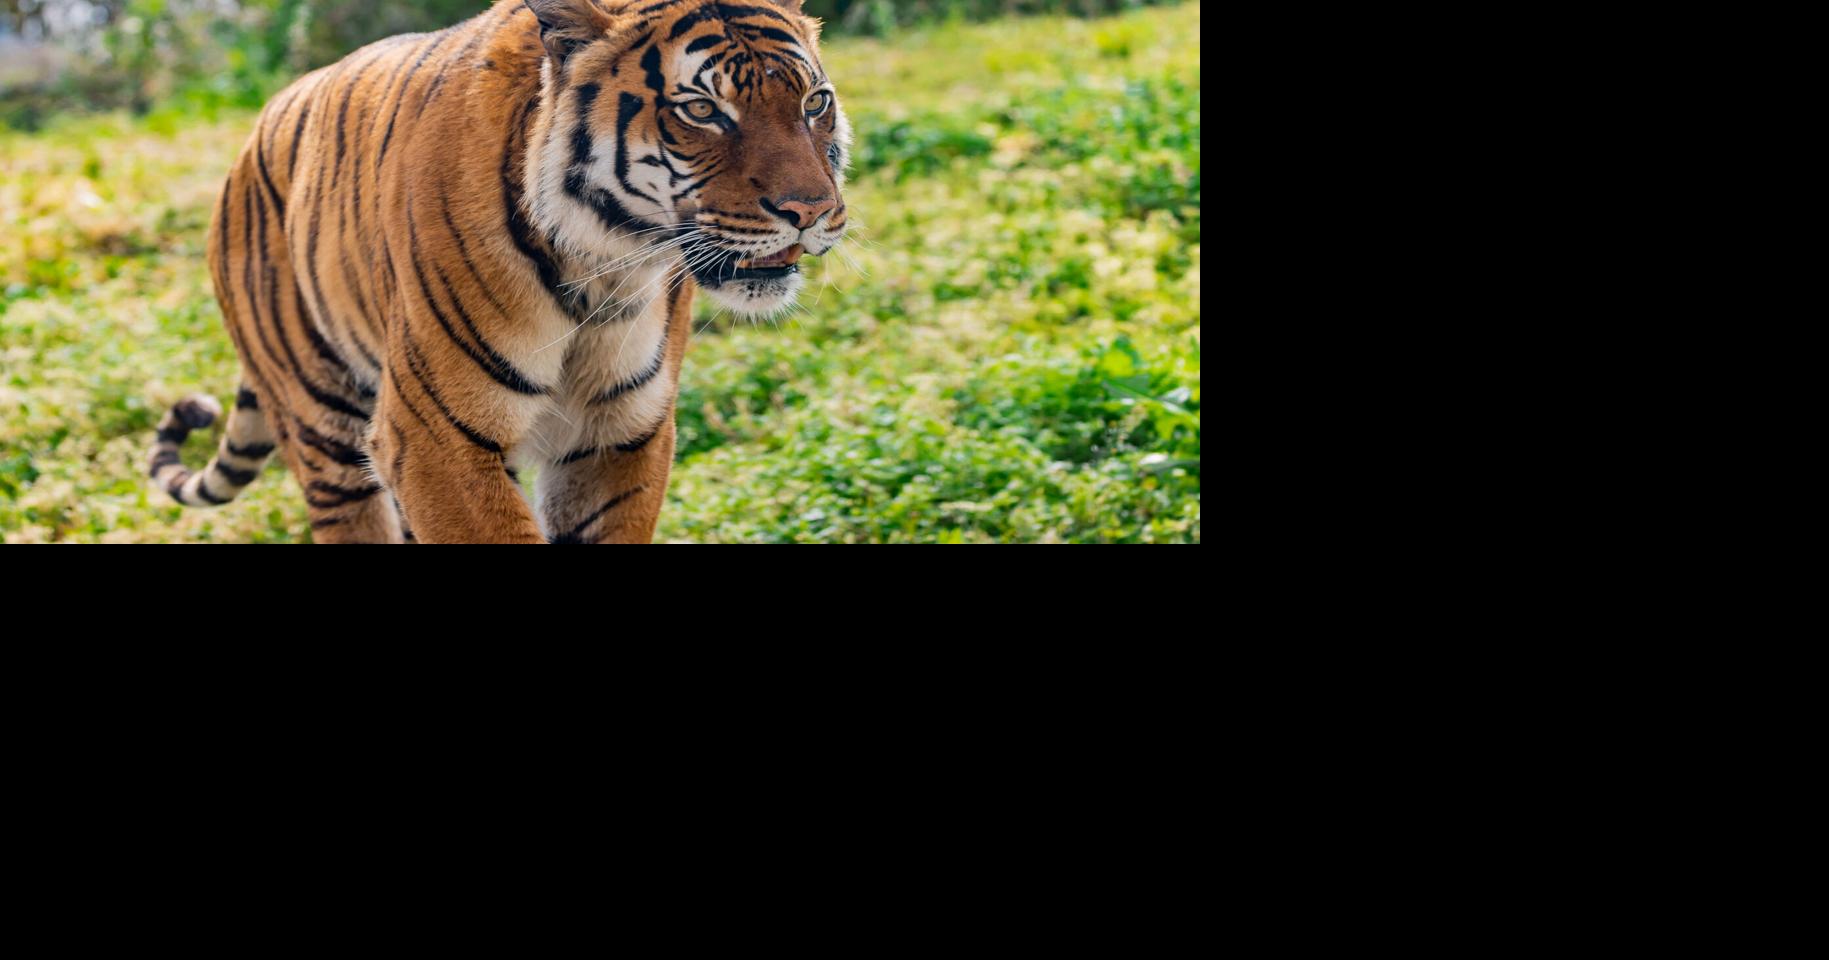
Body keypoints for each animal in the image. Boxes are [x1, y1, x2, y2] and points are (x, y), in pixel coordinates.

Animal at [146, 0, 851, 543]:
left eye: (814, 103)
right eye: (702, 111)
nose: (811, 211)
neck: (604, 270)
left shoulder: (621, 437)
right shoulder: (434, 439)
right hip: (326, 428)